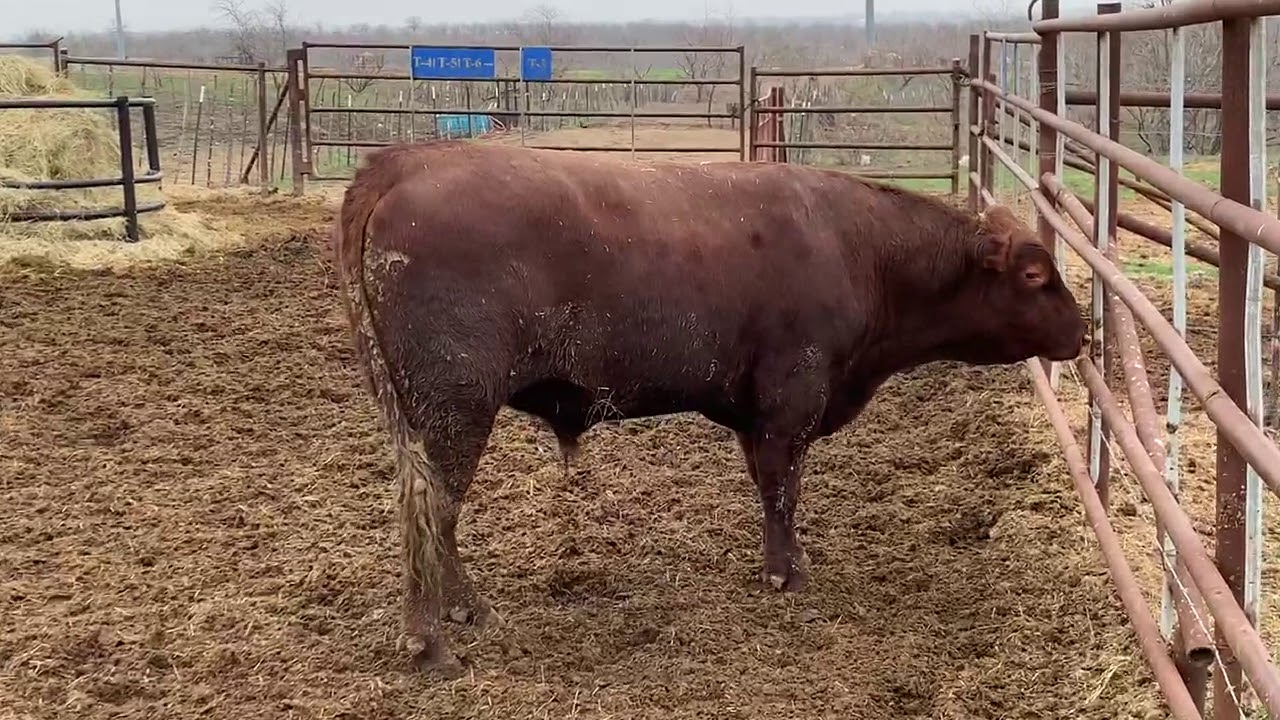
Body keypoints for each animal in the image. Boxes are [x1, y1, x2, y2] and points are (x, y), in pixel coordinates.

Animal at [332, 140, 1086, 676]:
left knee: (437, 515)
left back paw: (468, 611)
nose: (1084, 332)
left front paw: (786, 561)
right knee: (429, 510)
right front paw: (787, 574)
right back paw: (430, 644)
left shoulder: (758, 411)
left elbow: (768, 484)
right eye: (1033, 273)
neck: (859, 248)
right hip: (454, 406)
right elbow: (782, 487)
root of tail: (406, 161)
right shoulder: (792, 397)